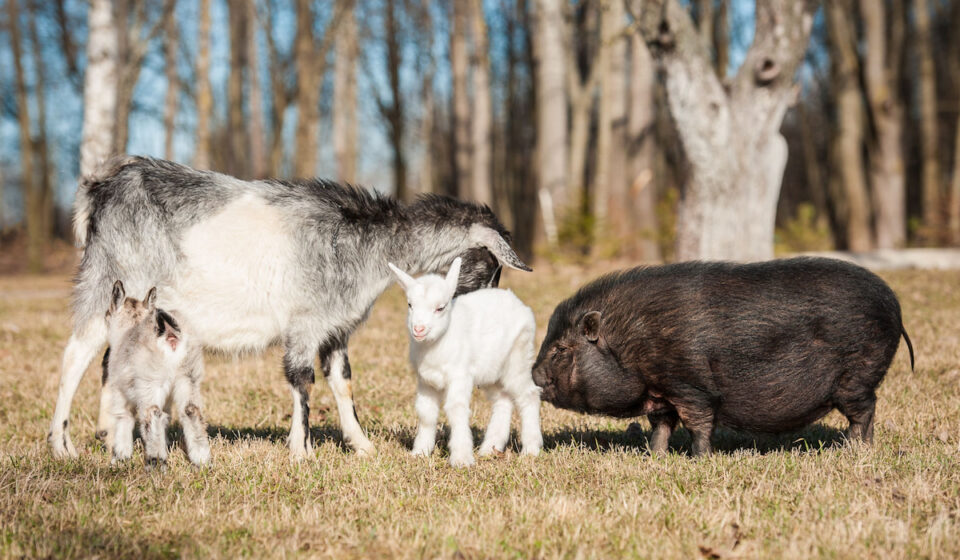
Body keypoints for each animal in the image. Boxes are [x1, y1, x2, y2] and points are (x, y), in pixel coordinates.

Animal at [103, 281, 209, 468]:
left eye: (108, 313)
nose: (104, 317)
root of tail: (169, 333)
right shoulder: (167, 400)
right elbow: (166, 420)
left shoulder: (119, 394)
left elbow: (123, 421)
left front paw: (119, 458)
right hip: (188, 378)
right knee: (190, 410)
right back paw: (201, 460)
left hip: (150, 384)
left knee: (152, 415)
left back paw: (156, 462)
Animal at [388, 257, 542, 467]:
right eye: (410, 304)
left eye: (440, 308)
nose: (418, 329)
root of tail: (515, 300)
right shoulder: (426, 380)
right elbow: (426, 412)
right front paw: (420, 452)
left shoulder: (459, 375)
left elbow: (456, 409)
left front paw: (461, 459)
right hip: (491, 371)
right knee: (502, 400)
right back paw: (490, 449)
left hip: (518, 356)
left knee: (529, 395)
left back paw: (530, 450)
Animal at [531, 257, 914, 456]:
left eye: (560, 349)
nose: (532, 374)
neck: (630, 342)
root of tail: (894, 307)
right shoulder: (661, 392)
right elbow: (661, 426)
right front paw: (654, 456)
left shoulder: (690, 385)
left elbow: (699, 423)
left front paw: (699, 458)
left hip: (858, 375)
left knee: (865, 411)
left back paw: (853, 451)